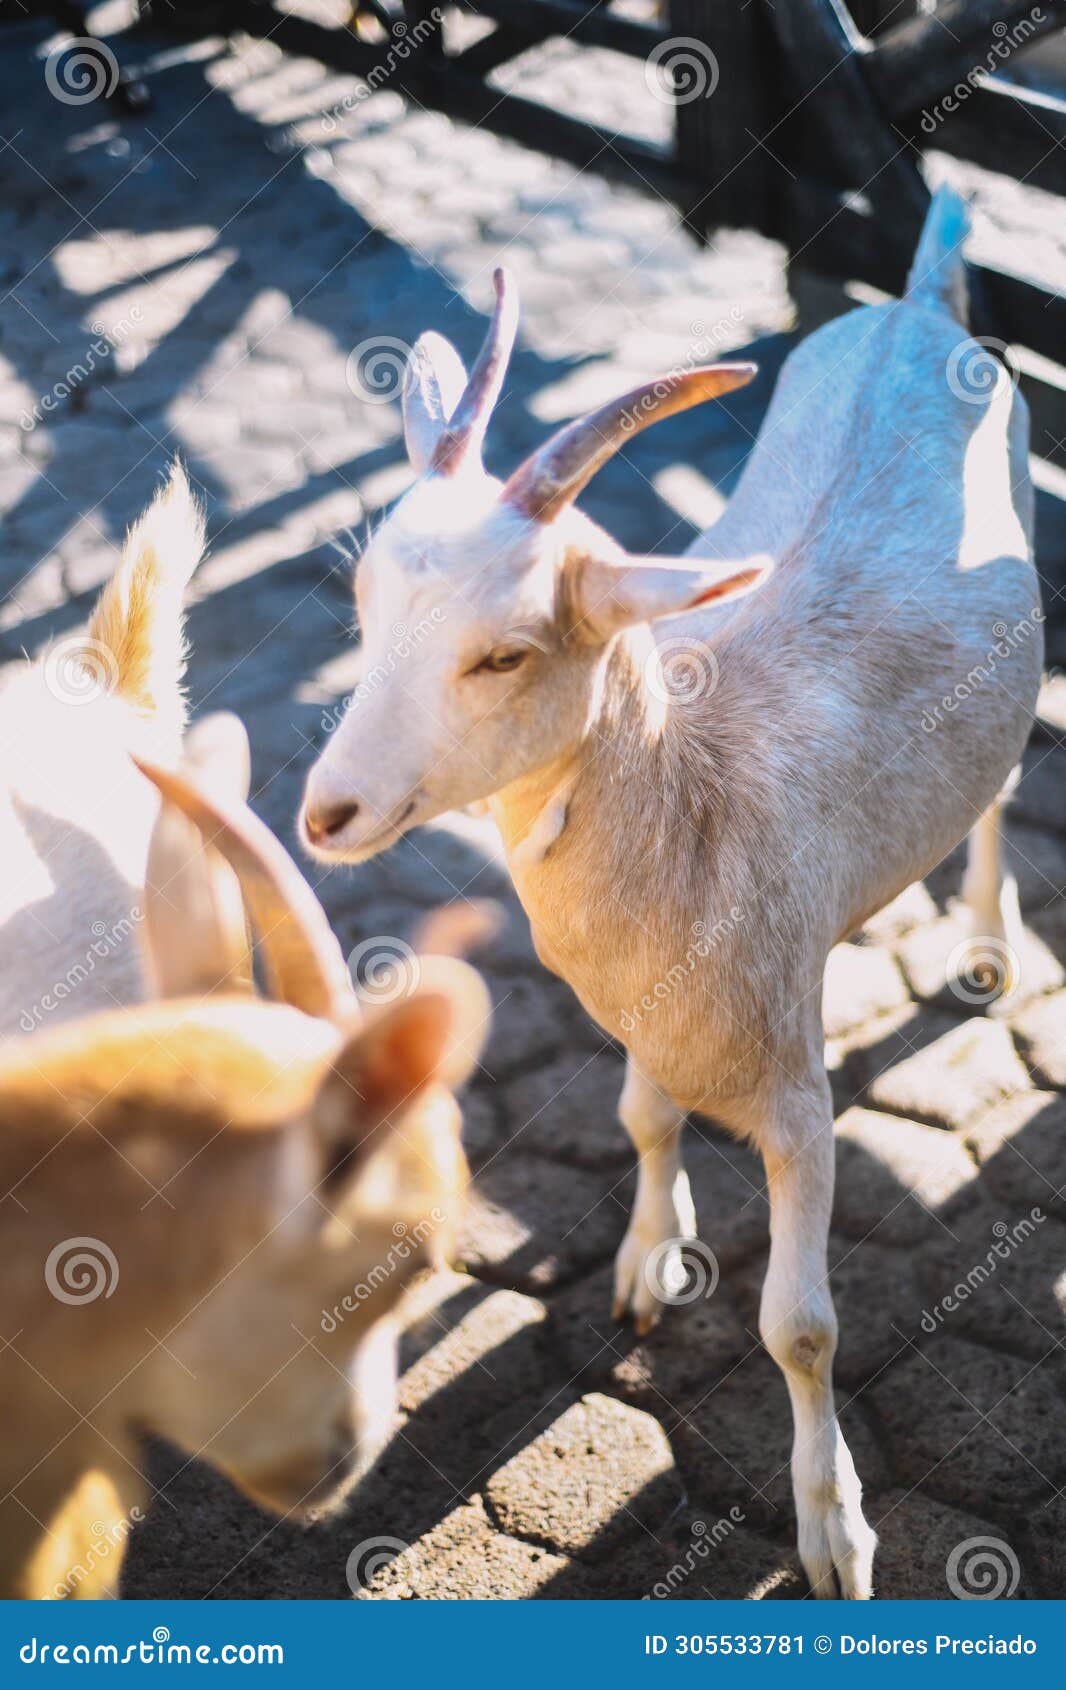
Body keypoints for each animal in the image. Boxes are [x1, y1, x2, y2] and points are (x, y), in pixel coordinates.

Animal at [298, 187, 1043, 1598]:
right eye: (359, 599)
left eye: (505, 653)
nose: (328, 811)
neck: (700, 803)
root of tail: (920, 298)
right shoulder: (647, 1007)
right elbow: (642, 1113)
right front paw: (647, 1259)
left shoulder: (796, 1081)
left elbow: (799, 1326)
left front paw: (833, 1532)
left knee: (1005, 774)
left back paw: (985, 941)